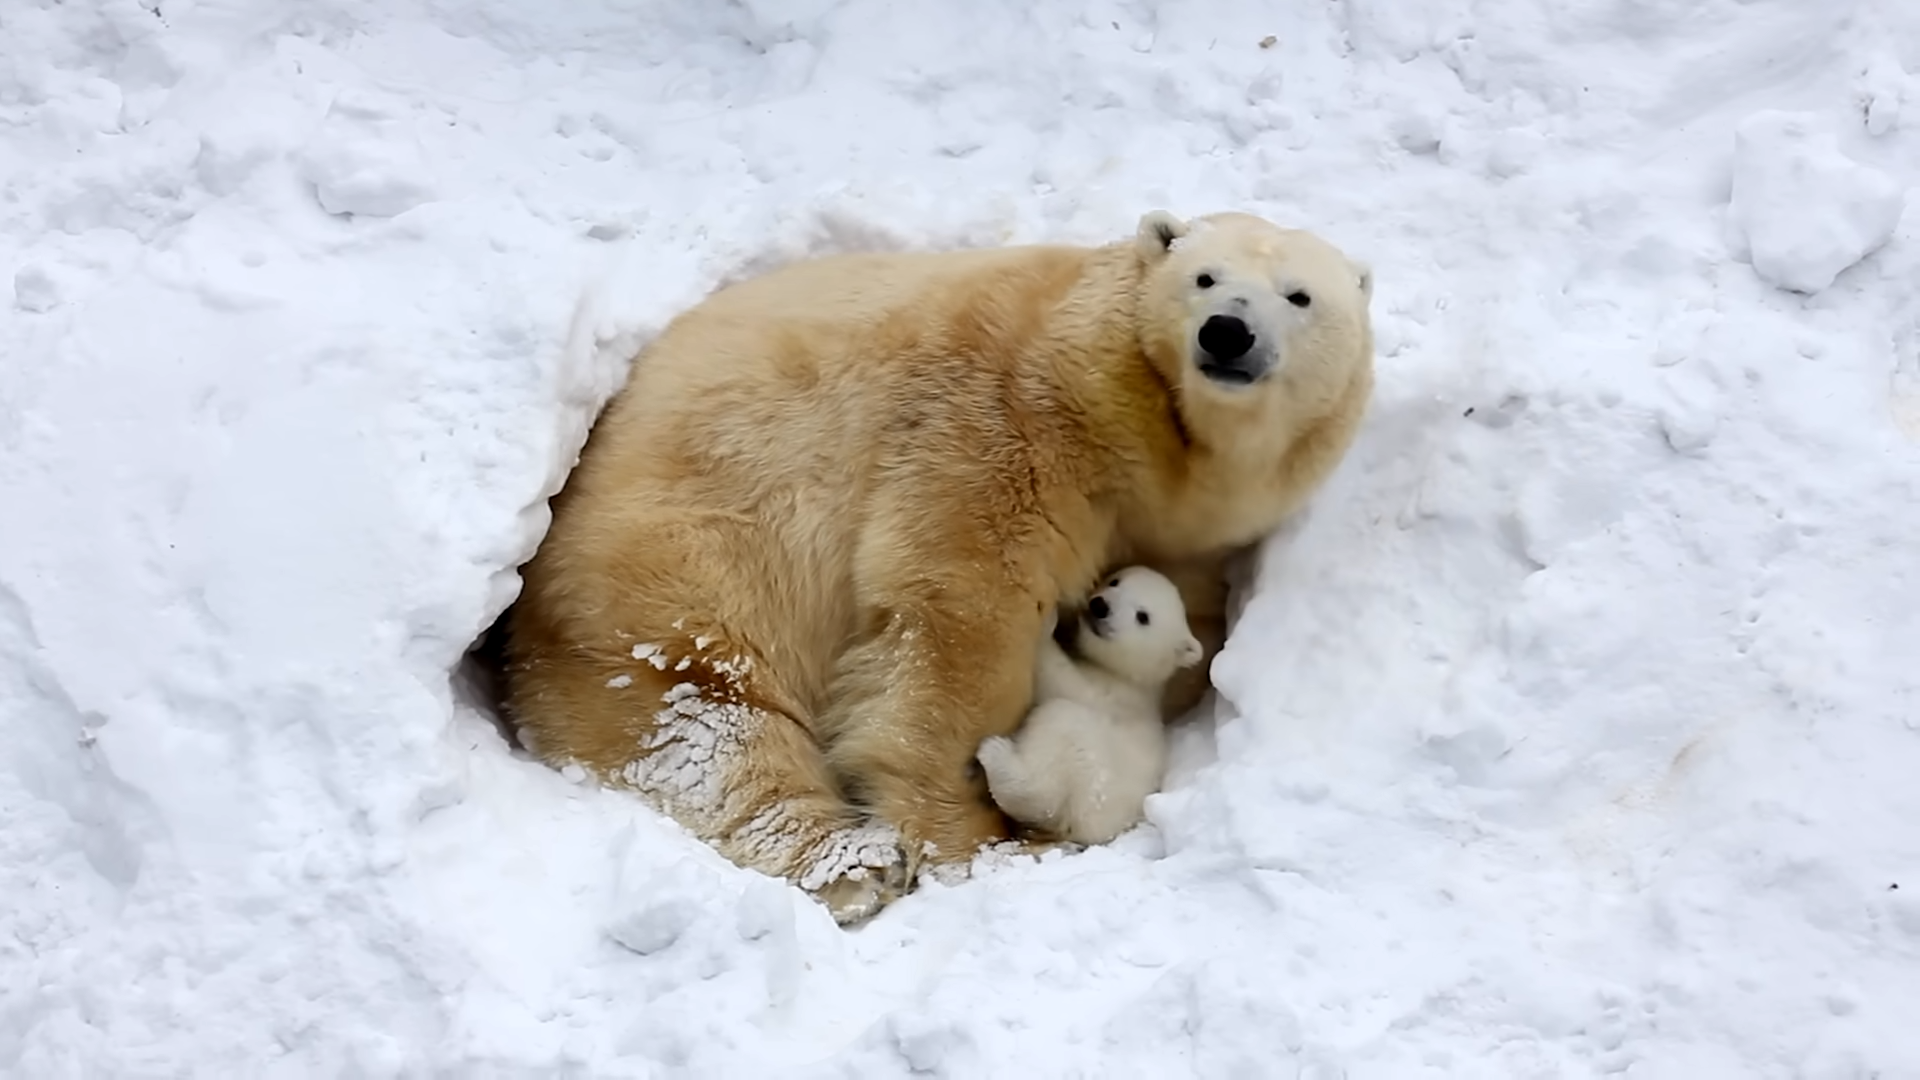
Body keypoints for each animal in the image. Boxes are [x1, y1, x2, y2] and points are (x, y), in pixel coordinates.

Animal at [976, 565, 1204, 846]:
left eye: (1143, 616)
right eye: (1115, 581)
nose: (1100, 606)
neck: (1127, 676)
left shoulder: (1114, 695)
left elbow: (1064, 683)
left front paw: (1047, 620)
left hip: (1092, 780)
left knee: (1060, 729)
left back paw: (994, 753)